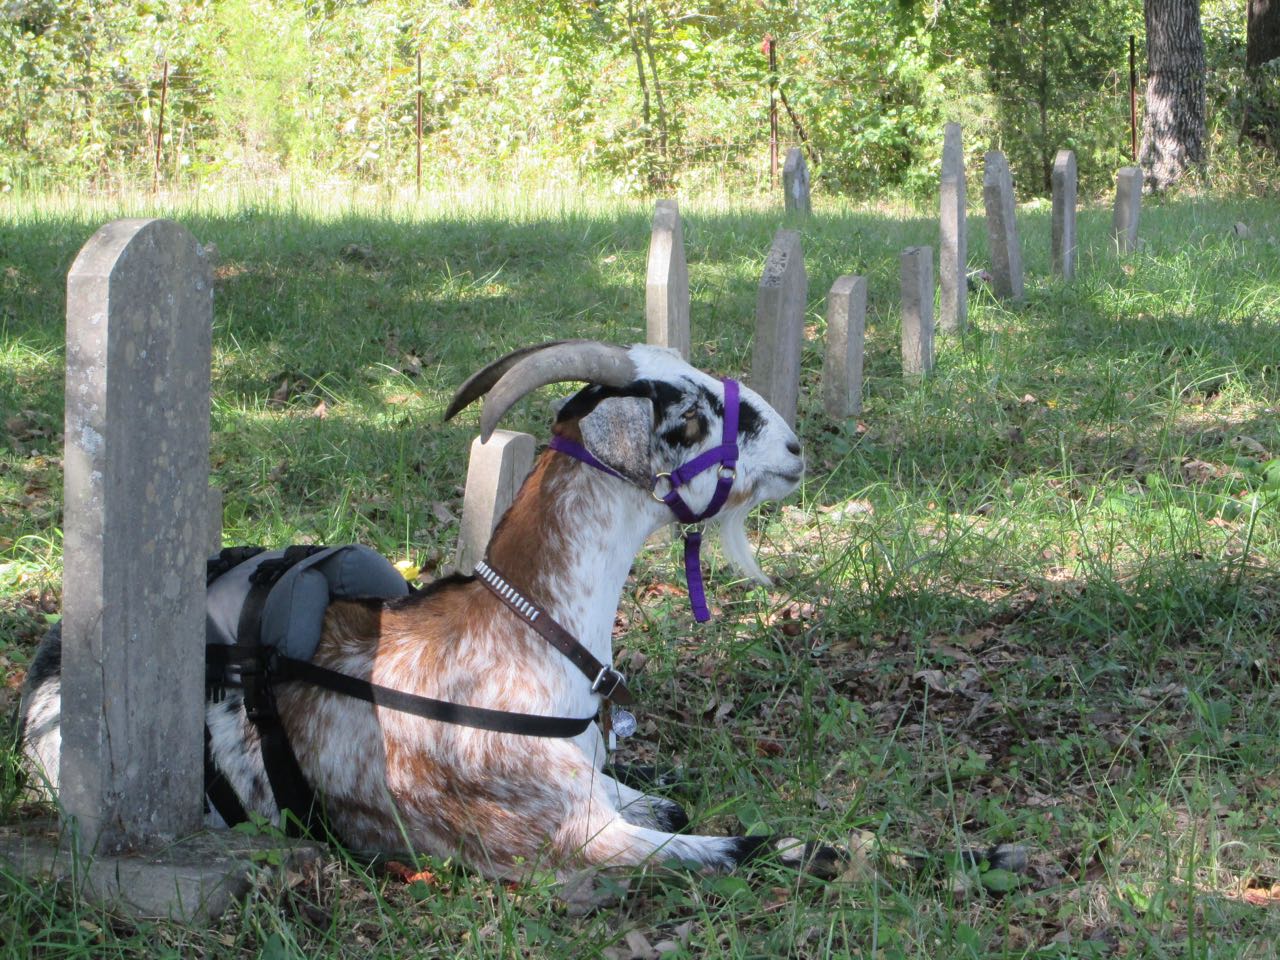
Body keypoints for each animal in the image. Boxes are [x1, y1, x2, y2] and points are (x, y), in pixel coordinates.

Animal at [21, 340, 836, 878]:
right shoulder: (565, 832)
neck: (529, 634)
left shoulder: (595, 785)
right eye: (690, 418)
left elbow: (673, 807)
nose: (796, 449)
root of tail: (53, 655)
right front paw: (826, 850)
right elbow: (741, 846)